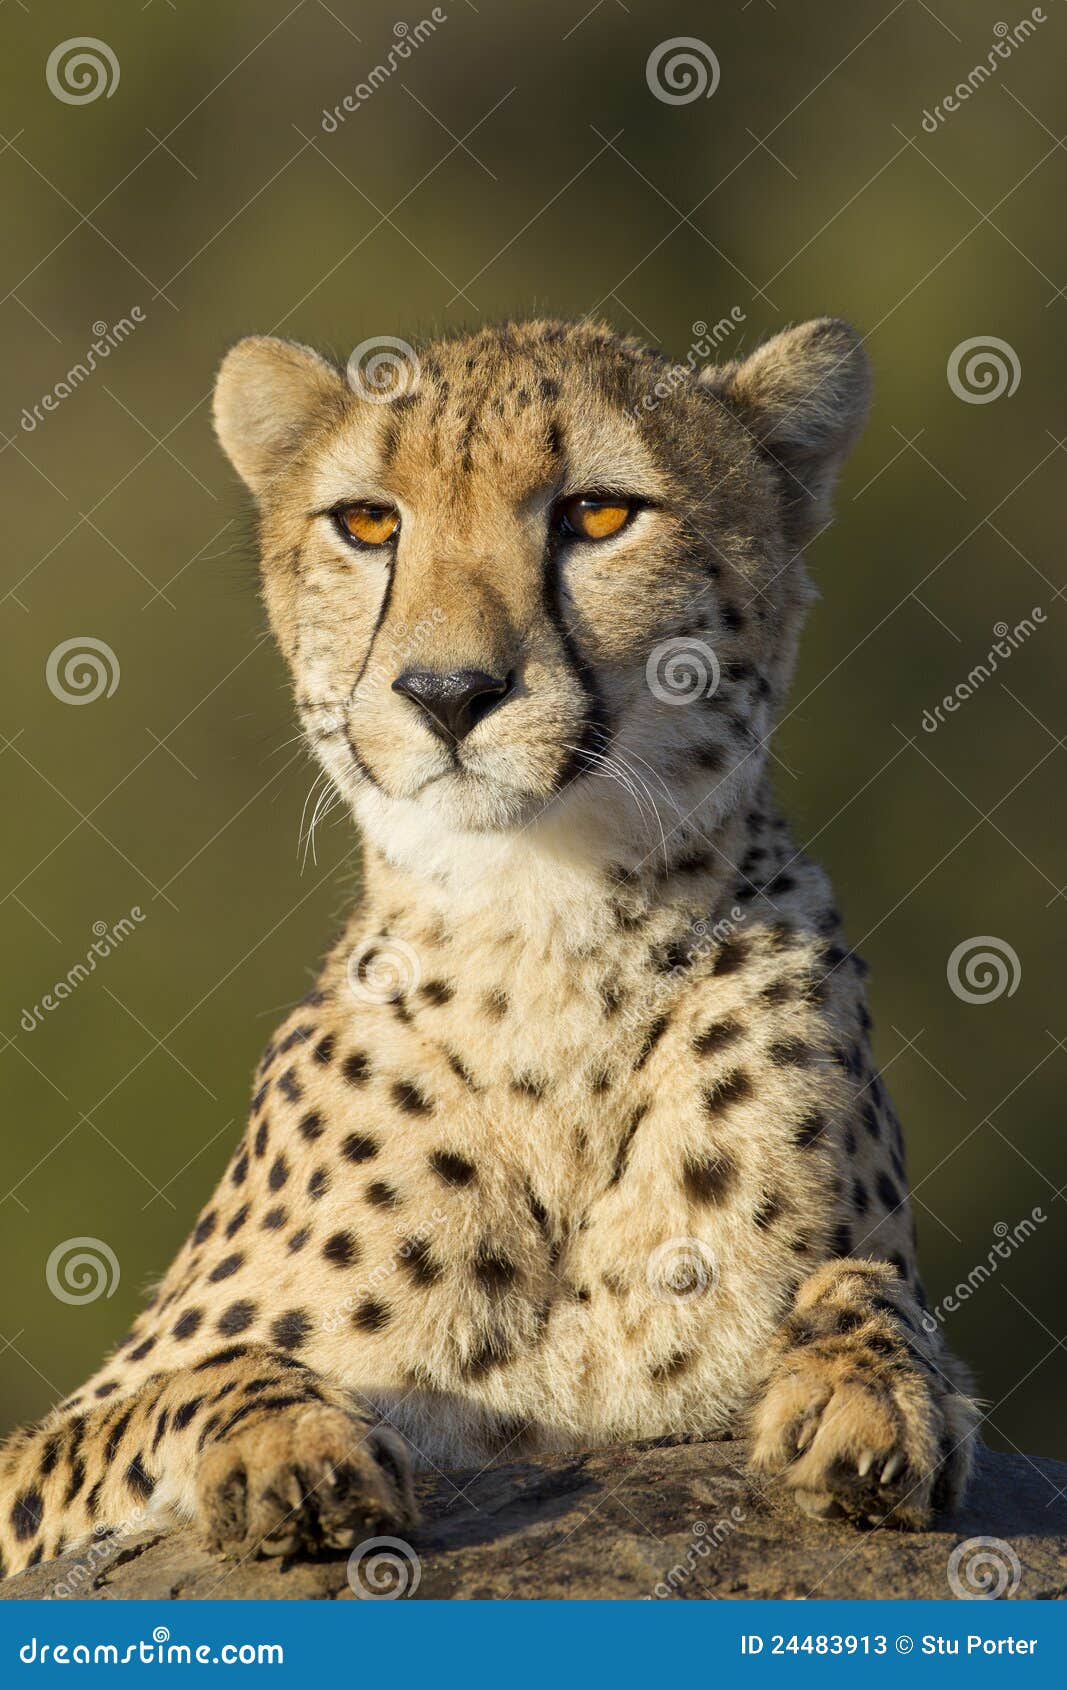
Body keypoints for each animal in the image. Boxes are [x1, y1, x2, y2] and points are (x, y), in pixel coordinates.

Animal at [0, 315, 978, 1581]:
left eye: (597, 514)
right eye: (369, 523)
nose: (448, 691)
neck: (540, 929)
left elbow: (870, 1292)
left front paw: (870, 1394)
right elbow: (189, 1381)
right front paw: (288, 1445)